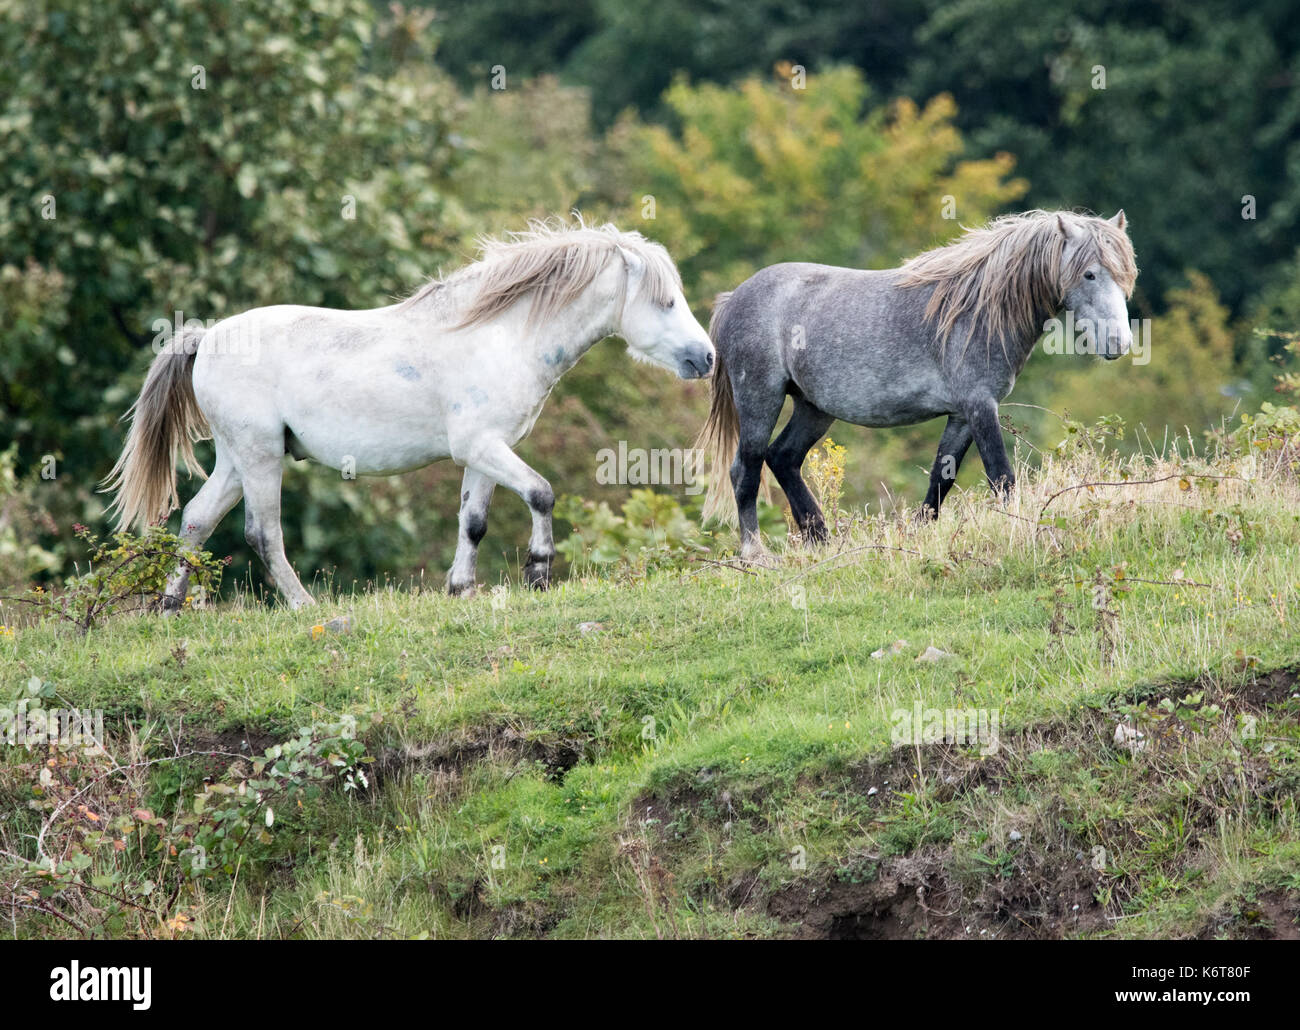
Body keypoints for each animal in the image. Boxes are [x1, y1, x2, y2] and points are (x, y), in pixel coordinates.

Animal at [104, 220, 715, 609]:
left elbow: (474, 522)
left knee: (197, 521)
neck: (500, 335)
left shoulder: (484, 454)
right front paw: (538, 571)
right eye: (666, 302)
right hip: (258, 457)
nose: (706, 357)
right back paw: (305, 607)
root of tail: (206, 339)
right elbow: (542, 493)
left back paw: (170, 605)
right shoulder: (484, 447)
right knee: (263, 533)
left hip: (239, 458)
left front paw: (461, 590)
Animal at [696, 209, 1137, 563]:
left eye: (1126, 276)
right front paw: (1022, 529)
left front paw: (916, 538)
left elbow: (941, 481)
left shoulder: (961, 415)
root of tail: (733, 298)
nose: (1119, 343)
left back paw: (820, 538)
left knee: (783, 458)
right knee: (746, 470)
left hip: (813, 408)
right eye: (1089, 273)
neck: (974, 310)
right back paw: (754, 552)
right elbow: (1001, 477)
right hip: (760, 400)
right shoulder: (980, 406)